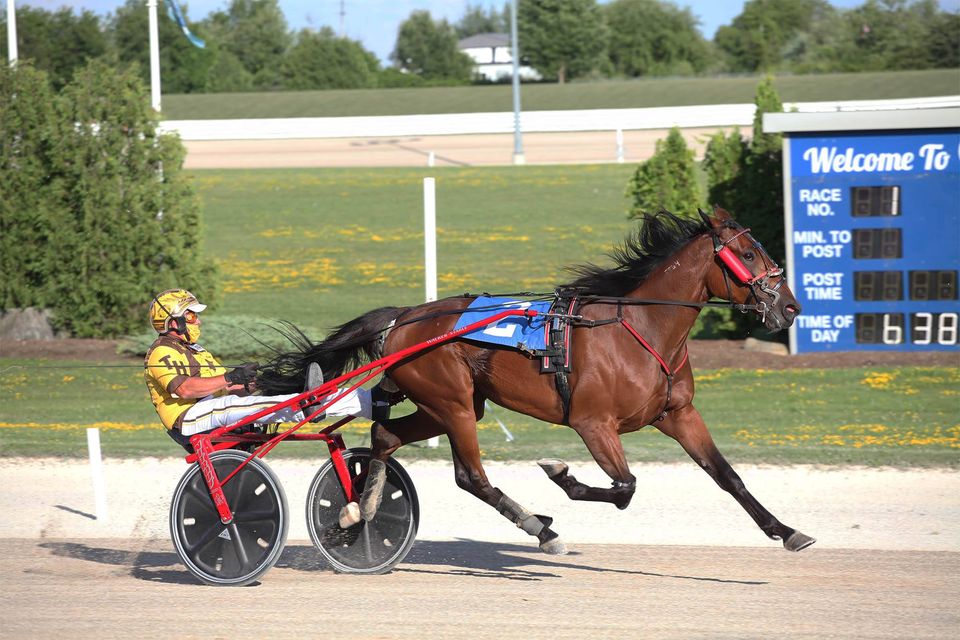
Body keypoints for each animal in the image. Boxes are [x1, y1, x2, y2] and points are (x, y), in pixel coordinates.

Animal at [258, 206, 816, 555]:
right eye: (749, 254)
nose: (790, 307)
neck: (640, 328)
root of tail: (404, 317)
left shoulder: (677, 415)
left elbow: (728, 476)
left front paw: (788, 531)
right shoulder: (593, 423)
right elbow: (625, 487)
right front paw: (559, 474)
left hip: (454, 404)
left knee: (384, 435)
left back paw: (359, 514)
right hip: (452, 403)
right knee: (470, 476)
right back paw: (539, 527)